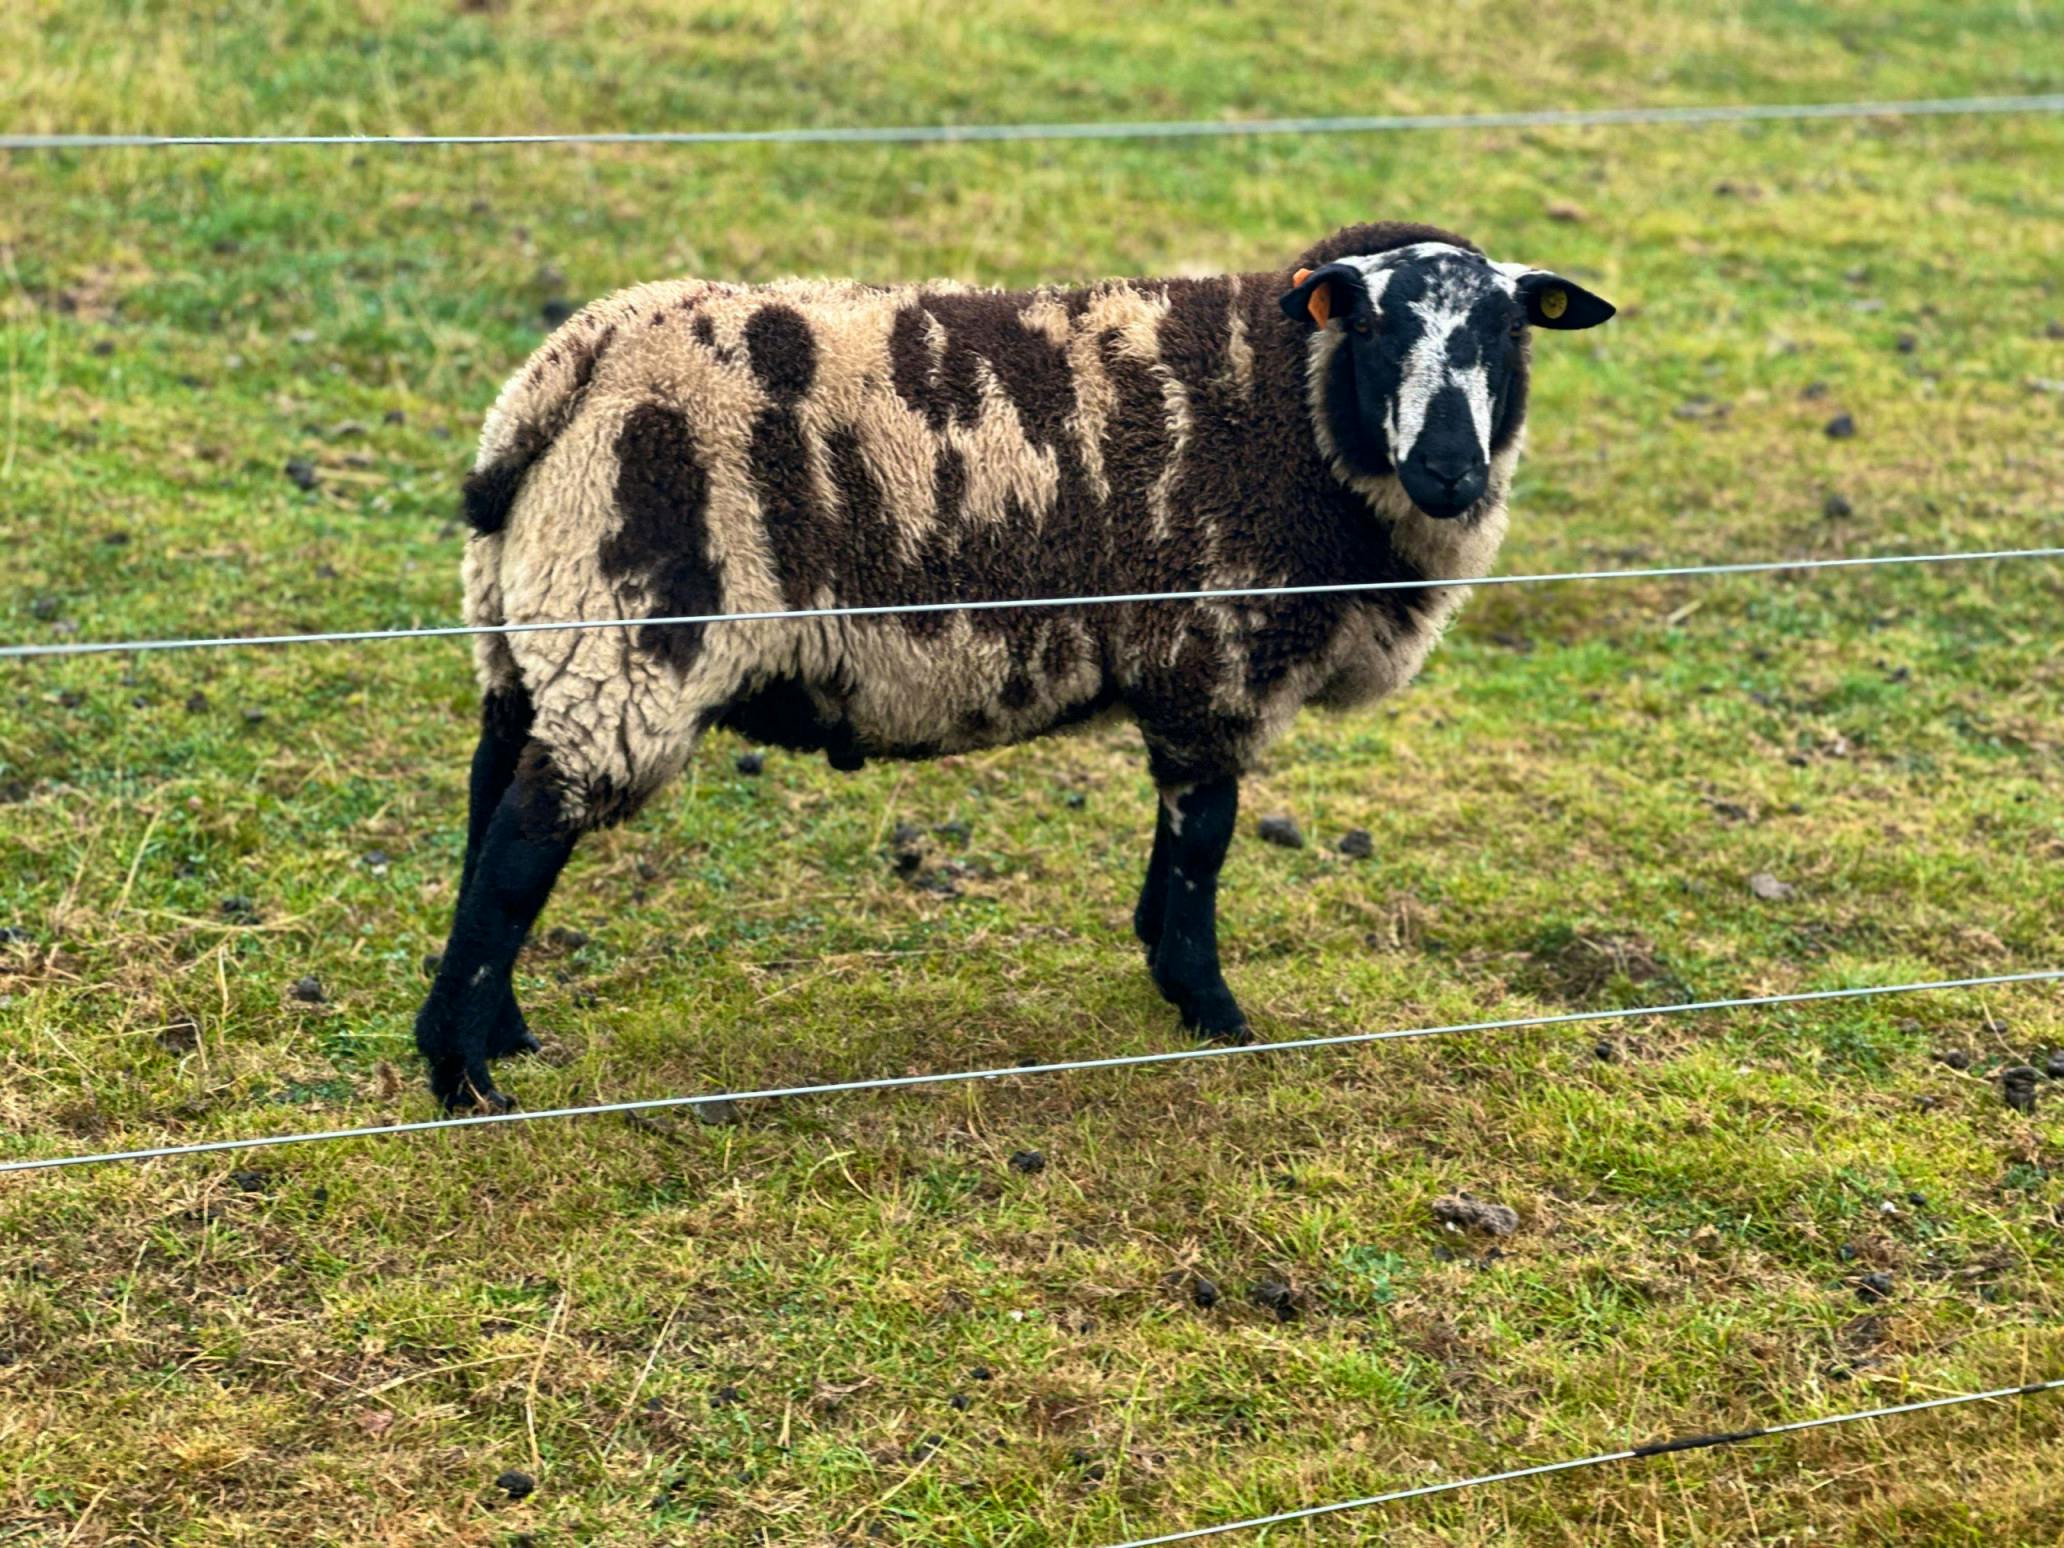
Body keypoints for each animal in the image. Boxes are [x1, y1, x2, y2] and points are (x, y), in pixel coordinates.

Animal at [415, 221, 1615, 1110]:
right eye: (1369, 325)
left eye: (1508, 331)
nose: (1452, 469)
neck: (1292, 416)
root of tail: (572, 368)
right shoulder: (1214, 660)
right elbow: (1206, 841)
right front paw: (1210, 1009)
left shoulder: (1182, 674)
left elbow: (1180, 840)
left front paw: (1162, 963)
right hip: (628, 638)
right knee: (526, 837)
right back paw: (460, 1072)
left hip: (528, 622)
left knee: (491, 800)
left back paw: (502, 1033)